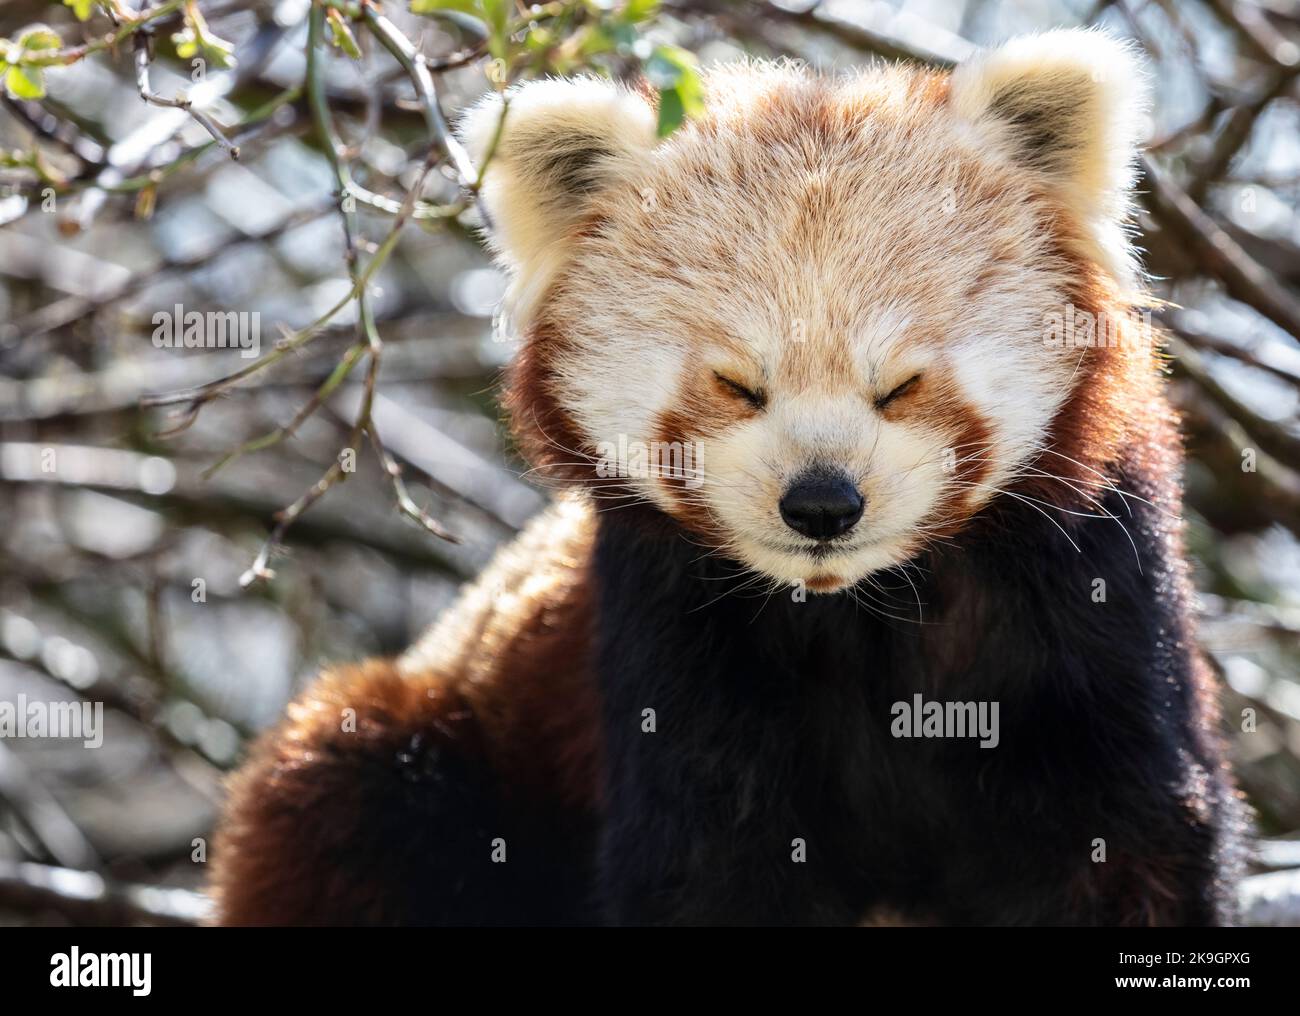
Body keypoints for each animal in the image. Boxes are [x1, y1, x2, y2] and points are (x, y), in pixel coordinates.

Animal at [211, 29, 1247, 926]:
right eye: (737, 385)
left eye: (902, 385)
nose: (823, 504)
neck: (860, 609)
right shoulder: (668, 642)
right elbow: (708, 870)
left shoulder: (1093, 601)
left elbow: (1121, 847)